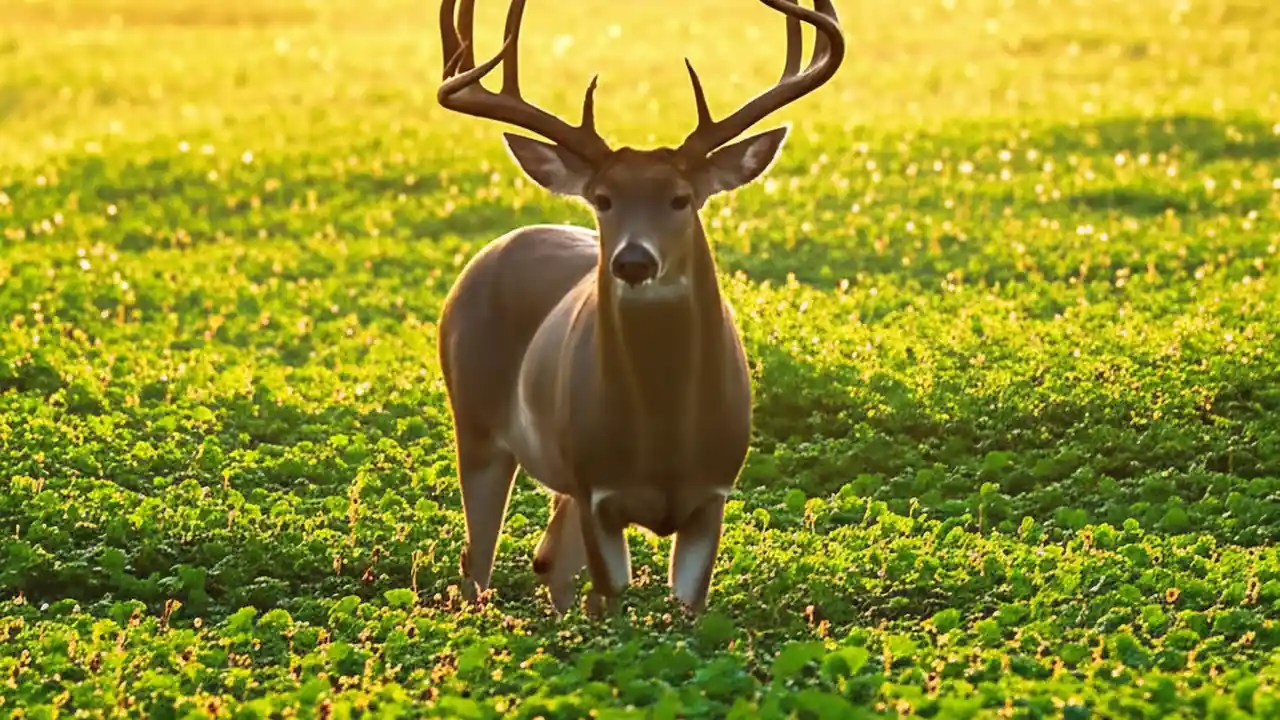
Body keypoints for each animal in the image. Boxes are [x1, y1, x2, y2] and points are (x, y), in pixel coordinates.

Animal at [435, 0, 844, 615]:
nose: (632, 261)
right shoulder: (594, 487)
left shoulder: (712, 494)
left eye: (681, 198)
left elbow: (686, 610)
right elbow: (615, 601)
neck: (663, 439)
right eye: (603, 199)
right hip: (476, 426)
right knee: (476, 561)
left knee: (548, 560)